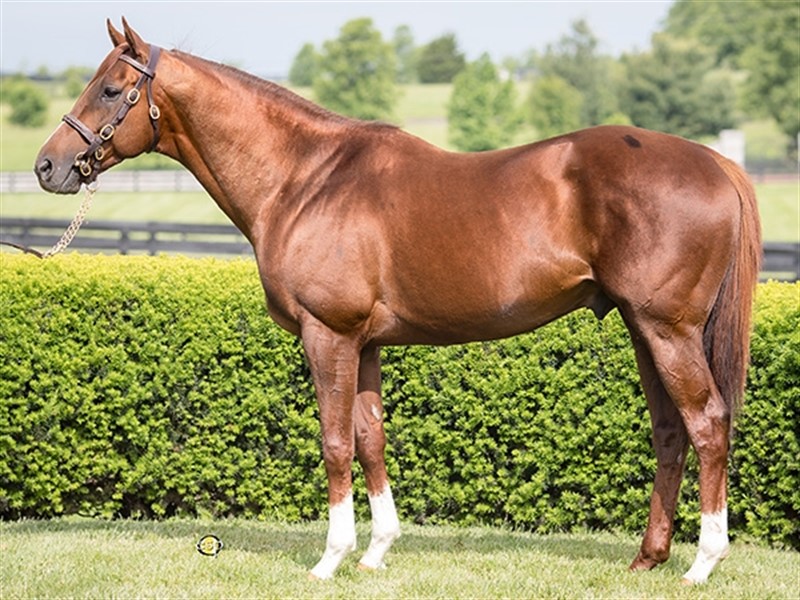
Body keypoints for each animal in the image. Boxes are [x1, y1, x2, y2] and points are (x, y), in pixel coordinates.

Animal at [34, 19, 761, 584]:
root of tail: (715, 163)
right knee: (670, 431)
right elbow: (370, 438)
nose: (47, 166)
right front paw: (376, 552)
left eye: (109, 89)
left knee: (708, 425)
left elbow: (334, 442)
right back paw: (649, 558)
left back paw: (703, 563)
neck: (306, 178)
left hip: (668, 329)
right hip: (645, 330)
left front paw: (330, 559)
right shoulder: (366, 344)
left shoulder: (327, 334)